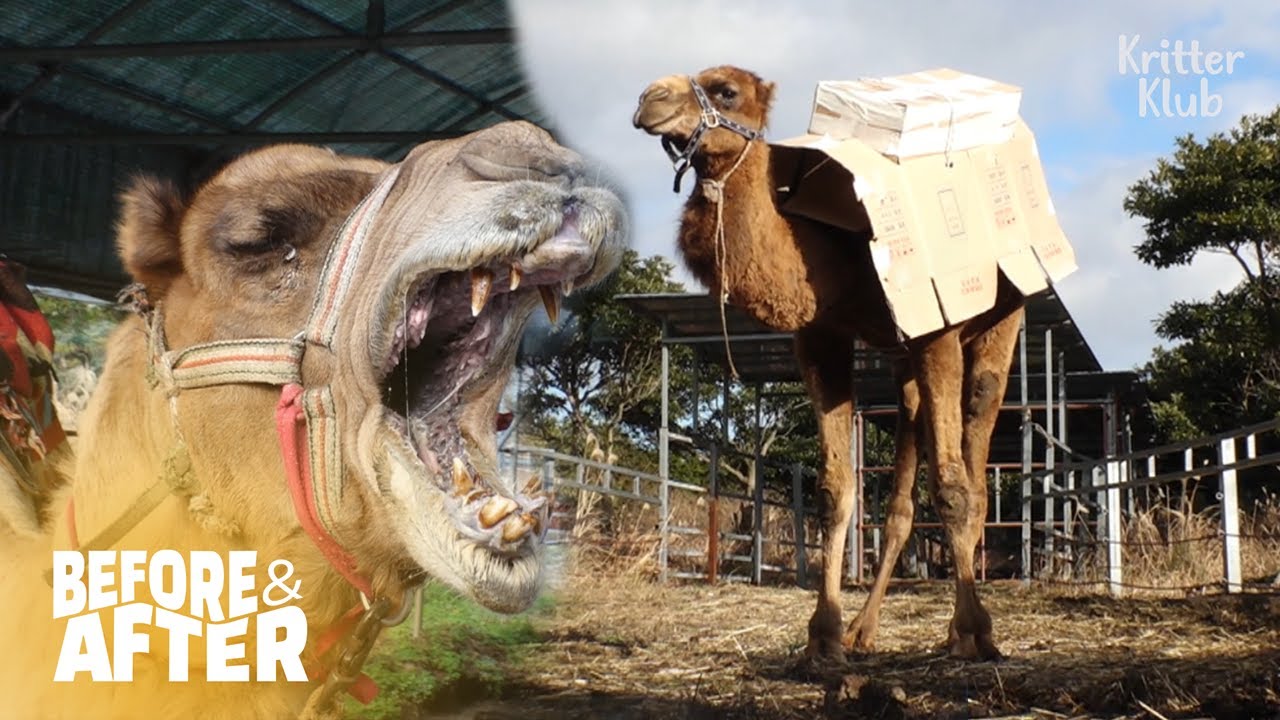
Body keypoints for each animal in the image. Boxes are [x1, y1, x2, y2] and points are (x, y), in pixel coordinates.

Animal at [633, 66, 1024, 662]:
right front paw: (824, 637)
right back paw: (866, 630)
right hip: (902, 366)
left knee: (976, 457)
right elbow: (833, 493)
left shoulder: (935, 327)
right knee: (904, 491)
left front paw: (978, 631)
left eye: (727, 91)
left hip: (1003, 319)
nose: (648, 101)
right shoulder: (823, 338)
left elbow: (954, 490)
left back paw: (960, 632)